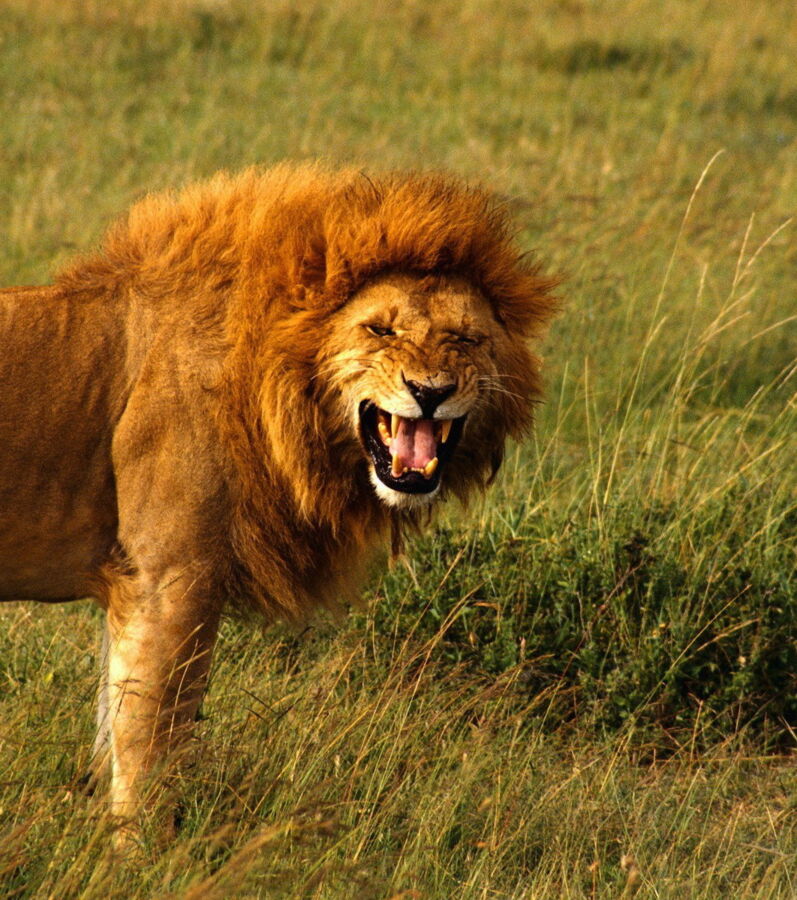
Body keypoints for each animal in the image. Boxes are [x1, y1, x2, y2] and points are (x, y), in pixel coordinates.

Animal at [0, 163, 557, 844]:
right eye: (381, 329)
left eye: (465, 338)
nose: (430, 391)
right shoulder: (169, 576)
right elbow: (149, 739)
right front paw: (142, 851)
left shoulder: (133, 582)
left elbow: (116, 724)